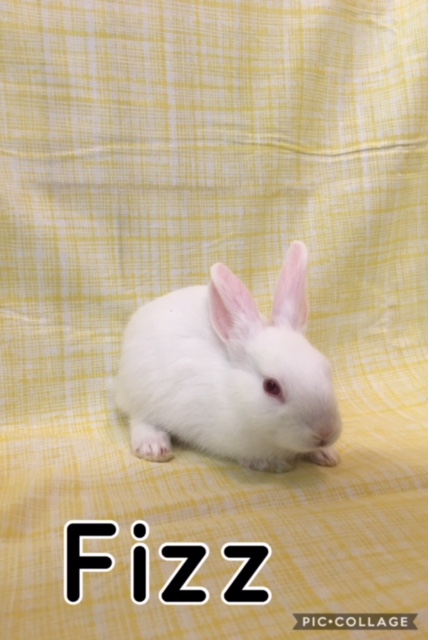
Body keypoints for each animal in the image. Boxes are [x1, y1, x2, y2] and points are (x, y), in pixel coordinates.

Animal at [115, 241, 342, 472]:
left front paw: (327, 455)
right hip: (143, 393)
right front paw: (271, 464)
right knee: (140, 418)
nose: (324, 433)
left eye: (327, 369)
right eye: (271, 386)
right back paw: (153, 447)